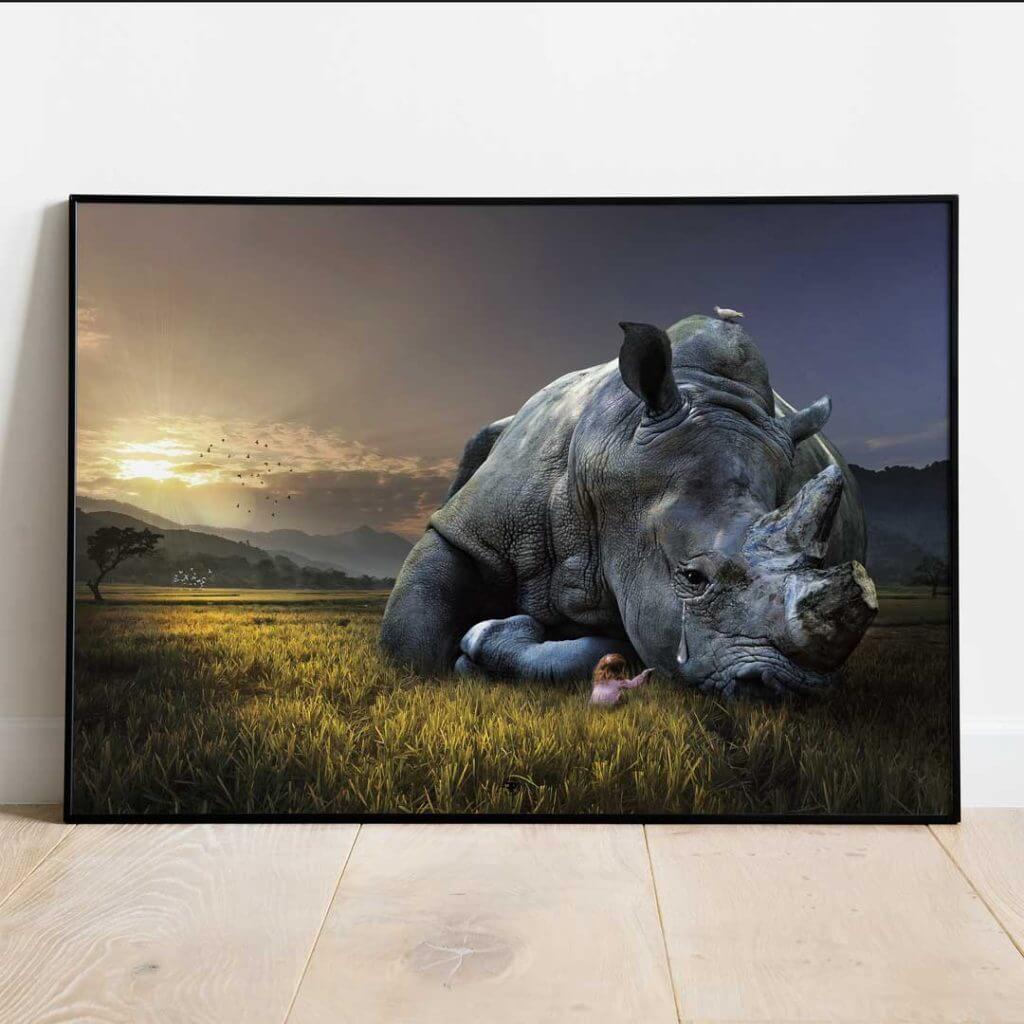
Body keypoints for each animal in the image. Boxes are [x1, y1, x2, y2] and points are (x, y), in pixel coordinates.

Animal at [380, 314, 877, 697]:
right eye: (693, 577)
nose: (792, 687)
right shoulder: (475, 528)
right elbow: (410, 641)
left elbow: (613, 653)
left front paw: (484, 646)